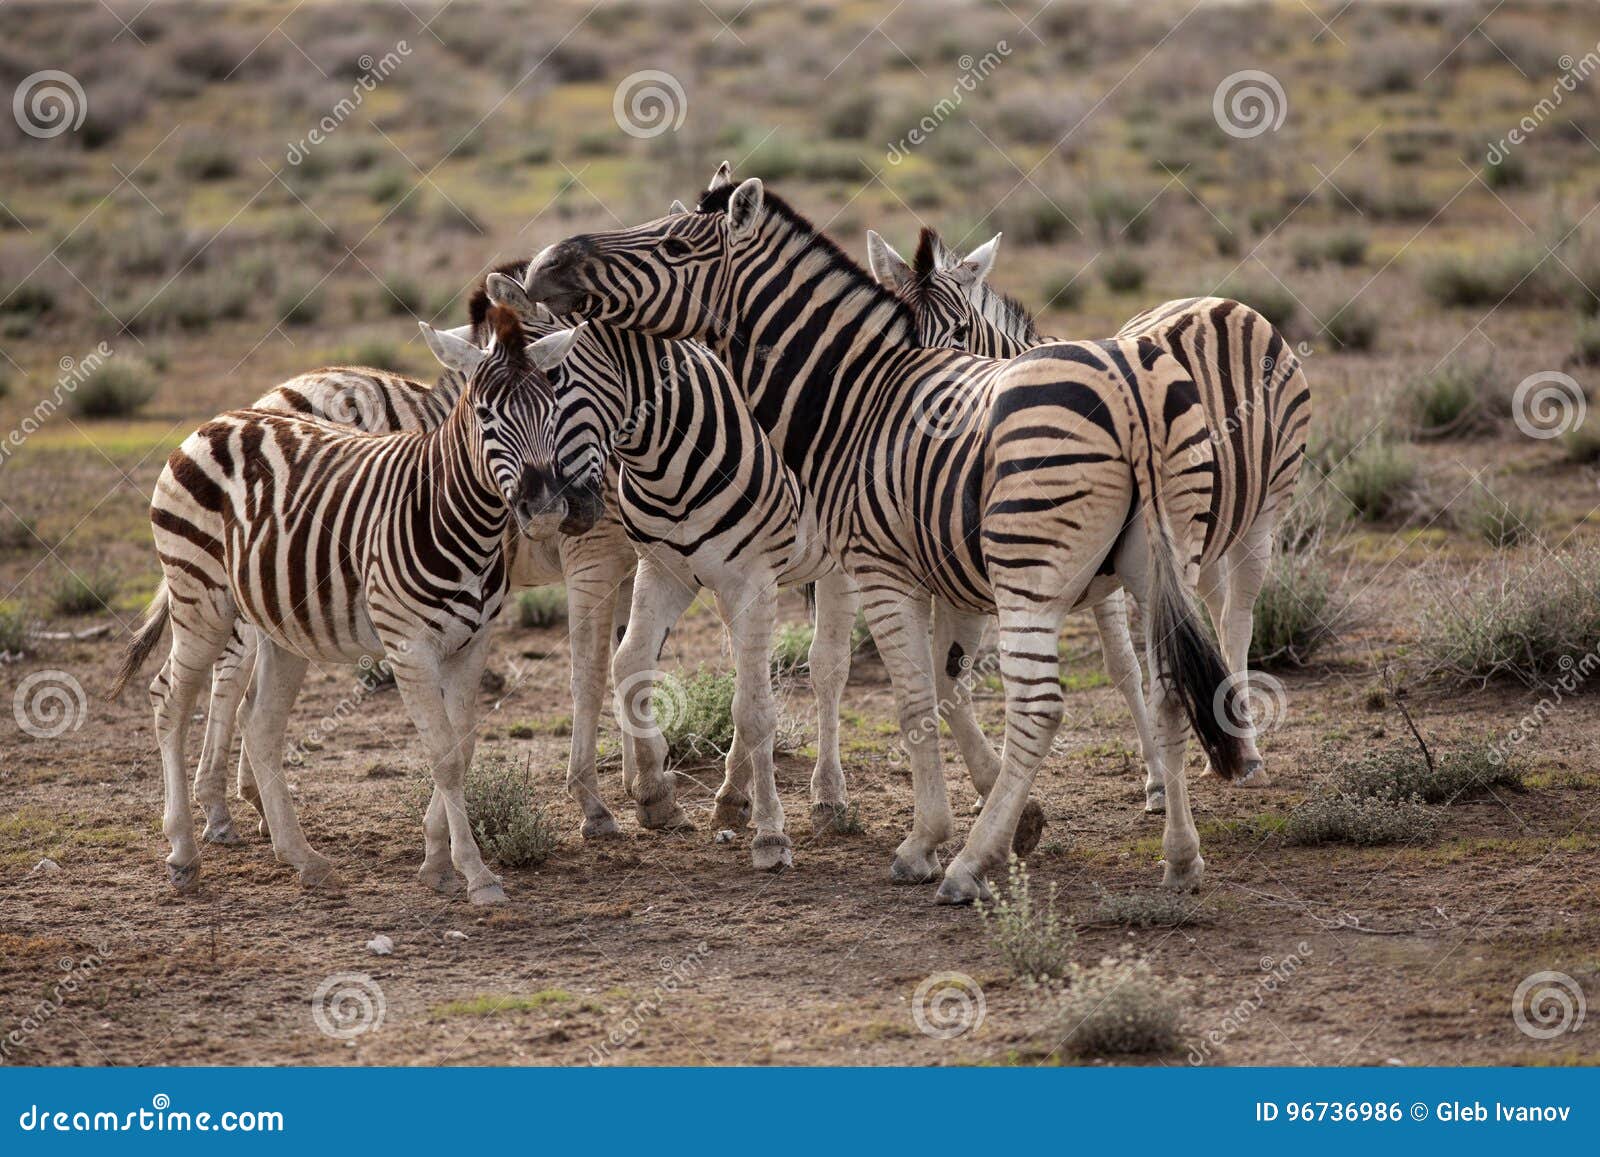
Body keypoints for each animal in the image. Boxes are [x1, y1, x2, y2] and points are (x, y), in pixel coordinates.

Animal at [109, 306, 576, 903]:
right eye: (485, 414)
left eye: (553, 408)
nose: (545, 509)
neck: (459, 520)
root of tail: (215, 420)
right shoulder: (409, 647)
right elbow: (445, 758)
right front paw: (476, 874)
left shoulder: (473, 644)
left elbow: (463, 750)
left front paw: (436, 861)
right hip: (200, 599)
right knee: (169, 698)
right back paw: (185, 854)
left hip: (278, 622)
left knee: (259, 724)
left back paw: (302, 857)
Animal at [185, 338, 637, 849]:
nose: (575, 507)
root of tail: (272, 396)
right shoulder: (594, 559)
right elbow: (594, 675)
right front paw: (597, 805)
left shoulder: (631, 563)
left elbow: (630, 667)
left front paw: (643, 786)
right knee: (227, 679)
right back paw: (219, 811)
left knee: (249, 695)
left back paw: (261, 807)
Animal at [519, 165, 1247, 903]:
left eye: (673, 245)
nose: (542, 261)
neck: (855, 396)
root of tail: (1129, 385)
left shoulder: (865, 569)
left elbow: (896, 698)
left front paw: (914, 841)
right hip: (1155, 566)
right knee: (1165, 687)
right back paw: (1180, 857)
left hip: (1032, 572)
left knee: (1053, 699)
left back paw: (972, 861)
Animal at [866, 227, 1312, 800]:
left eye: (962, 332)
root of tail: (1221, 301)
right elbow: (1121, 665)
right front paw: (1155, 776)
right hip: (1209, 524)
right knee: (1215, 606)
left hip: (1266, 510)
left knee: (1238, 619)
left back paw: (1250, 752)